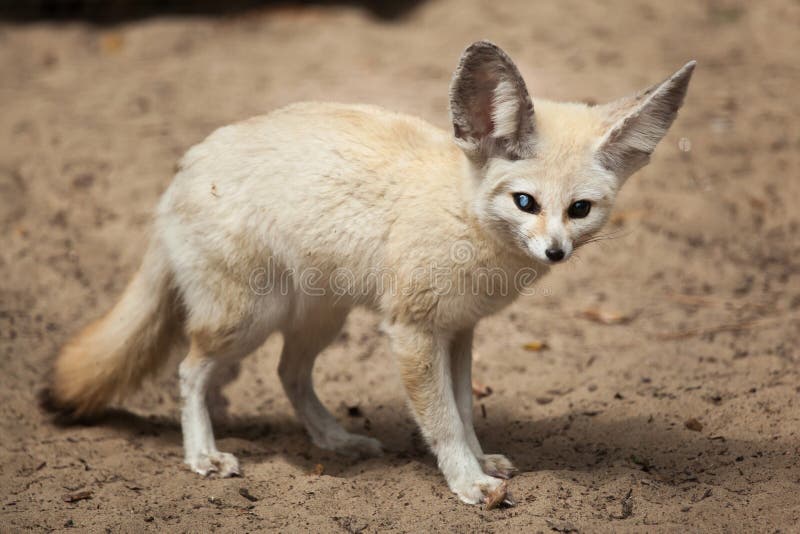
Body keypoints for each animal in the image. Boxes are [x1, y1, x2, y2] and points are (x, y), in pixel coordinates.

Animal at [48, 41, 694, 505]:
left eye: (580, 209)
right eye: (525, 203)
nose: (555, 252)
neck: (461, 212)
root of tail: (184, 168)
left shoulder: (459, 332)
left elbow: (464, 409)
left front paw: (481, 461)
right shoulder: (414, 332)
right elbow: (442, 421)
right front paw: (467, 482)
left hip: (317, 322)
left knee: (288, 374)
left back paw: (333, 439)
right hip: (244, 320)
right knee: (188, 372)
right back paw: (203, 456)